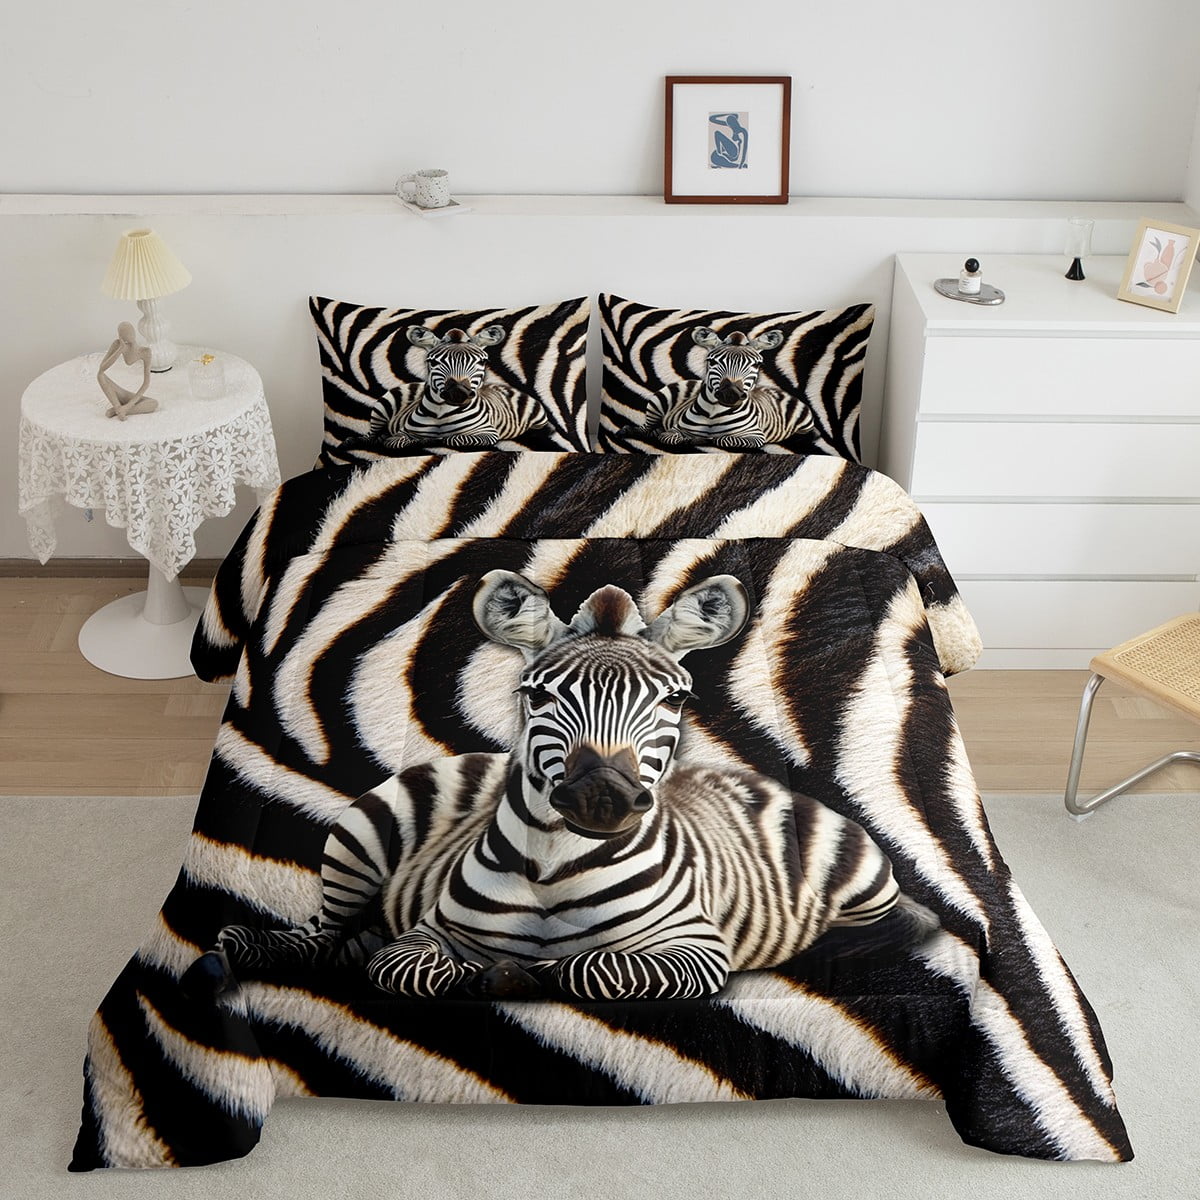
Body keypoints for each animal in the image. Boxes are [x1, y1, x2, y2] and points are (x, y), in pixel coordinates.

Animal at [189, 571, 938, 1003]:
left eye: (674, 699)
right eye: (537, 693)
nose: (600, 796)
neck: (553, 870)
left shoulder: (698, 950)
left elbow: (592, 969)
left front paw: (520, 973)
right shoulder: (424, 934)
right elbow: (409, 970)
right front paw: (480, 972)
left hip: (865, 882)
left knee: (902, 924)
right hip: (359, 838)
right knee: (325, 937)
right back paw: (237, 955)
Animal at [367, 326, 547, 449]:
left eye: (482, 361)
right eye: (433, 362)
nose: (458, 393)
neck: (440, 414)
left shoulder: (488, 433)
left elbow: (453, 438)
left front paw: (434, 439)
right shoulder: (400, 434)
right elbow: (397, 442)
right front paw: (421, 440)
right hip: (382, 408)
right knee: (371, 434)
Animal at [642, 327, 816, 450]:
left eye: (757, 364)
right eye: (711, 362)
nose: (730, 394)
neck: (713, 414)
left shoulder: (756, 436)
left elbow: (723, 439)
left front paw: (703, 439)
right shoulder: (674, 430)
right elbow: (669, 437)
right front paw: (688, 438)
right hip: (658, 402)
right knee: (647, 427)